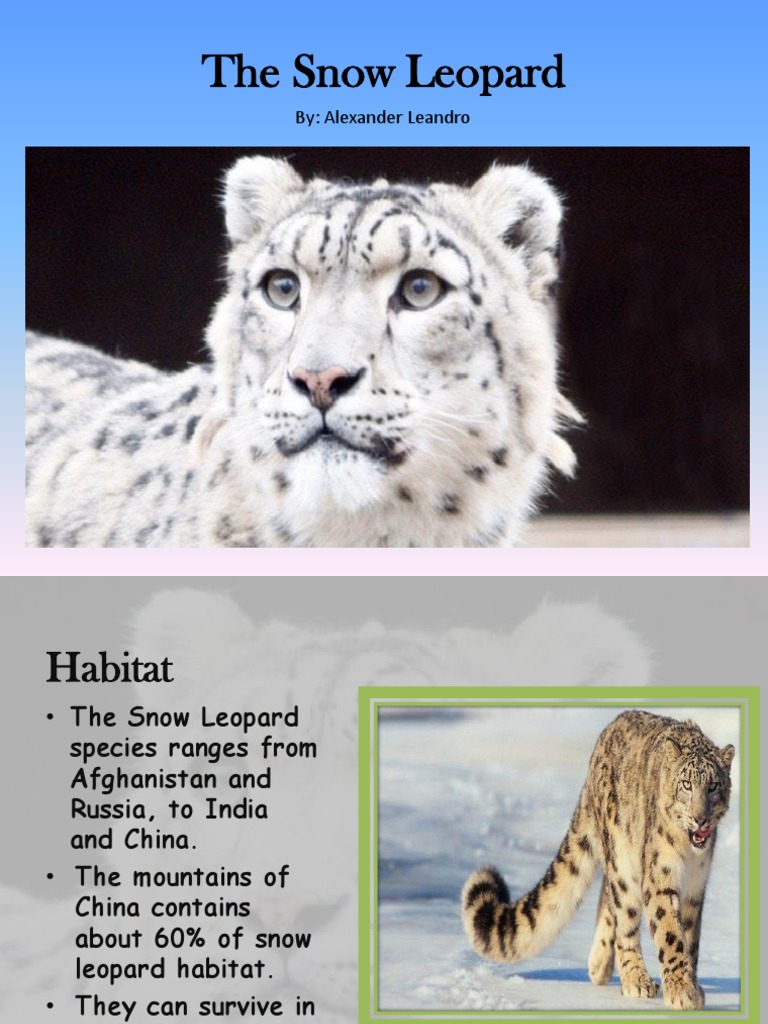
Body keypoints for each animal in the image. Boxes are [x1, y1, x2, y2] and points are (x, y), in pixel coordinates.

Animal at [461, 709, 735, 1010]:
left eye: (714, 786)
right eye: (686, 784)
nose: (701, 819)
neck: (688, 856)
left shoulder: (696, 886)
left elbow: (690, 938)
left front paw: (692, 986)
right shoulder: (660, 876)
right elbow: (670, 933)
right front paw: (681, 991)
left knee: (608, 895)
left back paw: (600, 964)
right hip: (622, 857)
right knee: (624, 916)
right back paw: (635, 978)